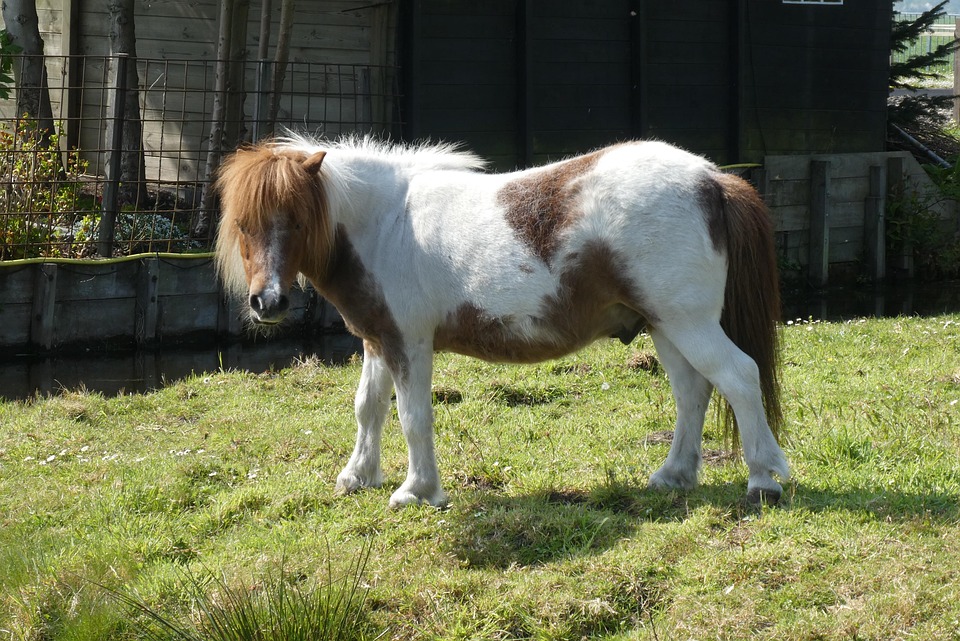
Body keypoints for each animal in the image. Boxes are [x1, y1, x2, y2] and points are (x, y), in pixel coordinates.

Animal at [214, 135, 790, 508]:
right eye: (243, 224)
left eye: (295, 219)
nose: (268, 303)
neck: (385, 224)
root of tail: (712, 178)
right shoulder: (379, 341)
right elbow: (368, 408)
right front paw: (358, 476)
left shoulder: (409, 344)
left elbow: (413, 417)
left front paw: (417, 491)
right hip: (666, 326)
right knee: (693, 392)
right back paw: (673, 475)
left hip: (688, 323)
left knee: (738, 377)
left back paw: (763, 479)